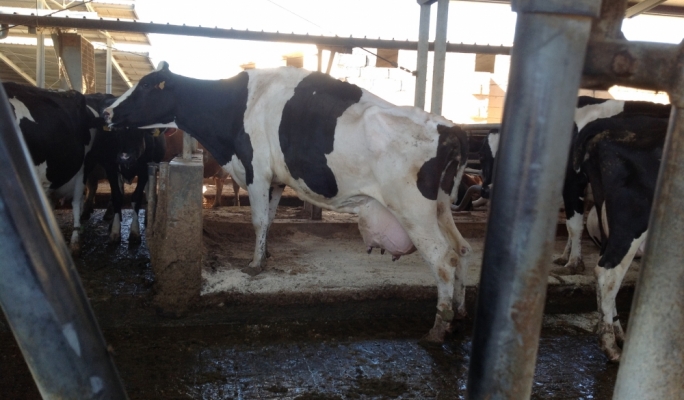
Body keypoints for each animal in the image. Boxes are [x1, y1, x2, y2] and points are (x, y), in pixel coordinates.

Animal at [104, 62, 471, 342]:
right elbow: (269, 219)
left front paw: (253, 265)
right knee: (461, 248)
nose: (106, 112)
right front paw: (265, 255)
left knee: (443, 258)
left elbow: (257, 220)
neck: (235, 109)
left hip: (413, 209)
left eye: (146, 86)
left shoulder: (256, 169)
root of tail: (449, 128)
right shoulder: (277, 180)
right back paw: (460, 312)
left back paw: (439, 328)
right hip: (440, 207)